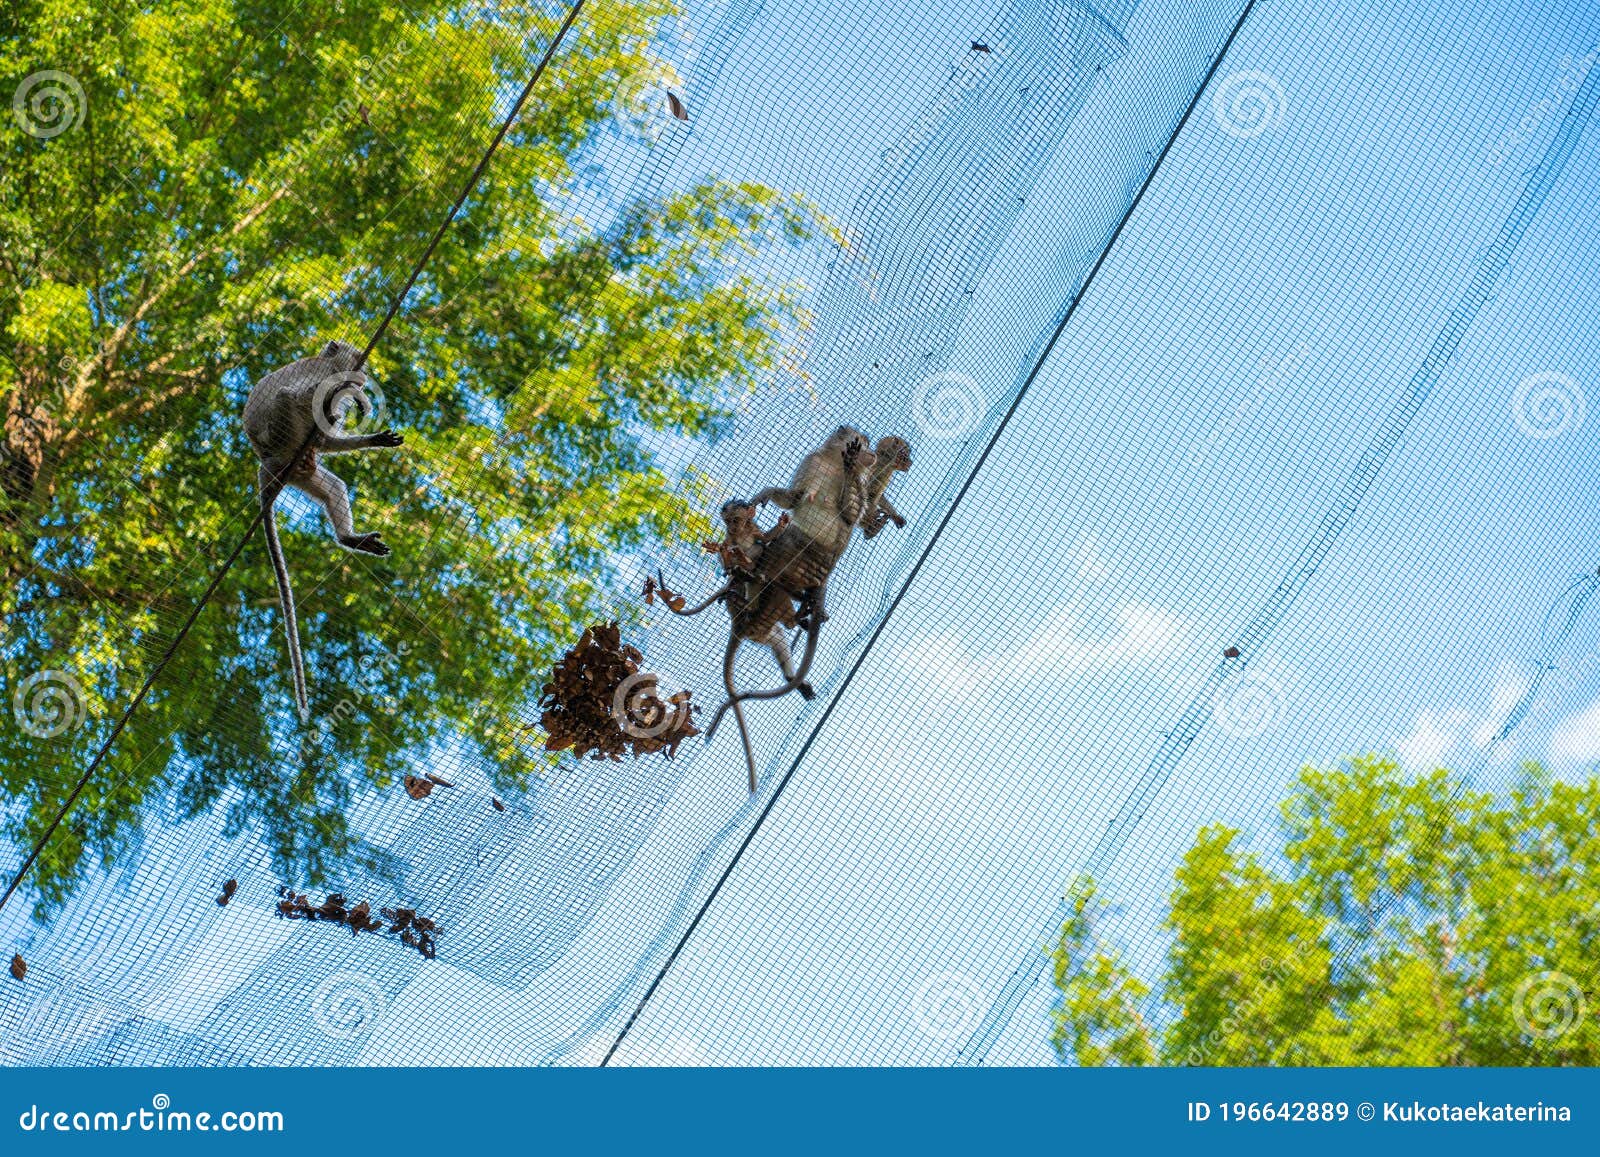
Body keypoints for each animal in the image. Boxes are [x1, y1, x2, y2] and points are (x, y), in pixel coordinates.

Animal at [243, 339, 403, 721]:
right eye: (358, 361)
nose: (363, 377)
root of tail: (266, 459)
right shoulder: (321, 376)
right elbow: (303, 394)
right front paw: (354, 393)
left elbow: (331, 438)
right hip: (279, 434)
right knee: (289, 398)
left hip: (301, 474)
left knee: (330, 484)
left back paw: (348, 538)